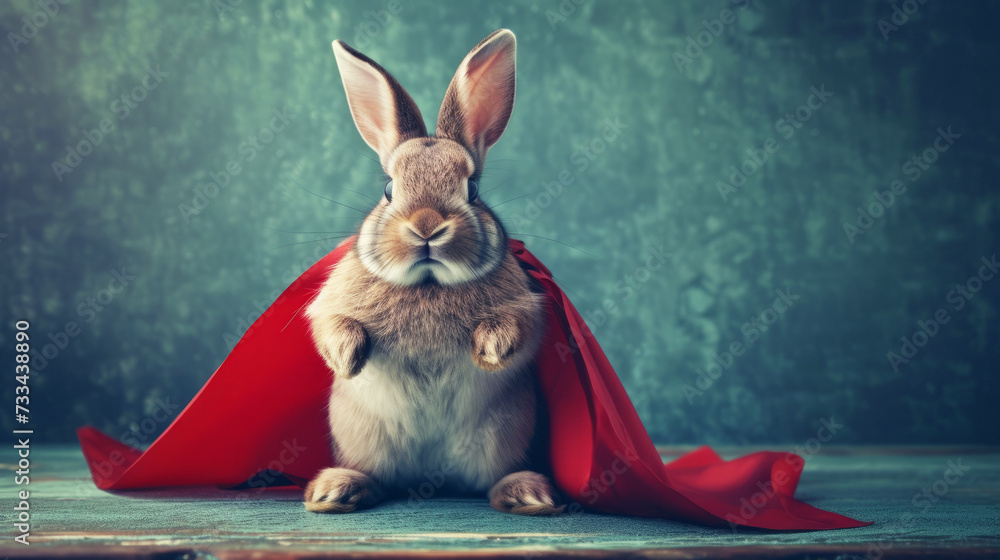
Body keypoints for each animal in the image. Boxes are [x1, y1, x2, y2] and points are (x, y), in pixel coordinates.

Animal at [303, 29, 565, 516]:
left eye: (473, 189)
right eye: (389, 189)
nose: (426, 226)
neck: (428, 284)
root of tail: (432, 477)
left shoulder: (525, 307)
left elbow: (514, 326)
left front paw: (489, 351)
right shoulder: (333, 304)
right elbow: (334, 325)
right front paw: (348, 359)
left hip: (503, 435)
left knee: (492, 481)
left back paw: (528, 495)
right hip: (363, 437)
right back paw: (335, 491)